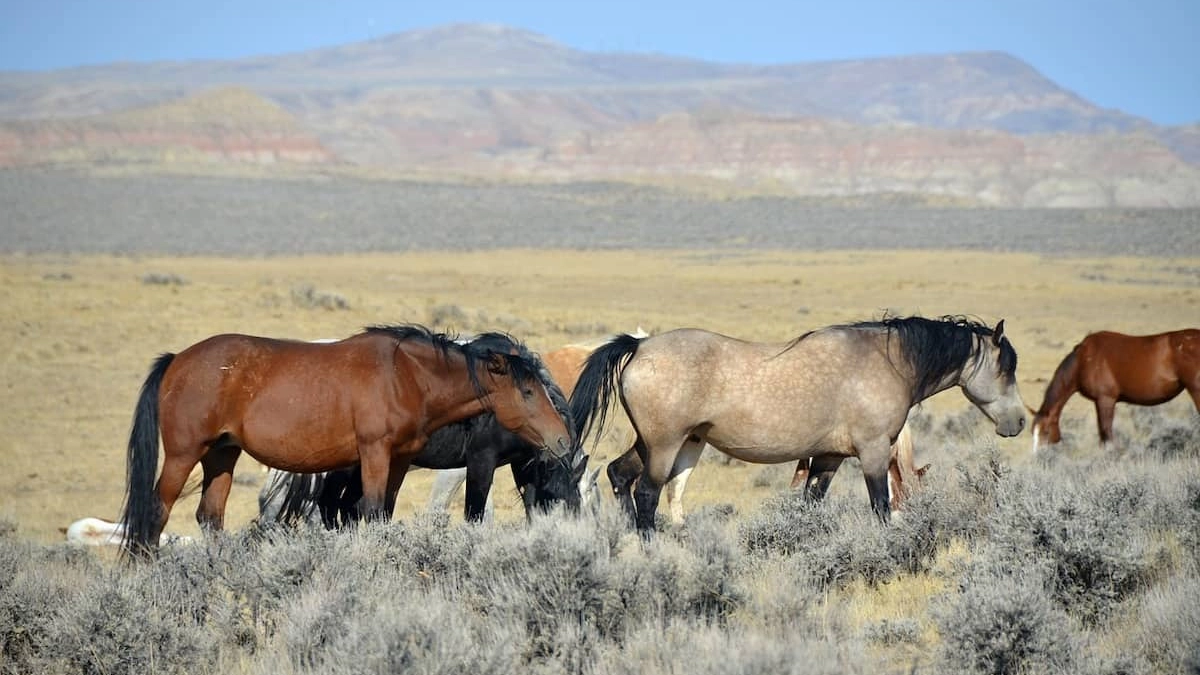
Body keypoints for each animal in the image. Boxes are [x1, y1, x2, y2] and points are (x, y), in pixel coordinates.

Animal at [120, 325, 573, 556]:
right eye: (527, 391)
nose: (563, 441)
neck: (405, 375)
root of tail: (177, 359)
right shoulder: (374, 454)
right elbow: (369, 511)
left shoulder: (398, 460)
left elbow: (382, 513)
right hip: (184, 455)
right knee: (155, 513)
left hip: (221, 455)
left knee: (209, 517)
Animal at [569, 316, 1025, 532]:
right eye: (1007, 366)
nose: (1019, 421)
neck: (887, 361)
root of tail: (640, 345)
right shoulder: (874, 453)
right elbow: (881, 506)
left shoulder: (828, 458)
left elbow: (811, 505)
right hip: (664, 446)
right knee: (646, 493)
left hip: (655, 443)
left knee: (619, 475)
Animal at [1030, 329, 1200, 453]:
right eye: (1032, 432)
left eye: (1046, 432)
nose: (1039, 456)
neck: (1083, 360)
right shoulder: (1099, 402)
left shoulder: (1106, 400)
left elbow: (1107, 435)